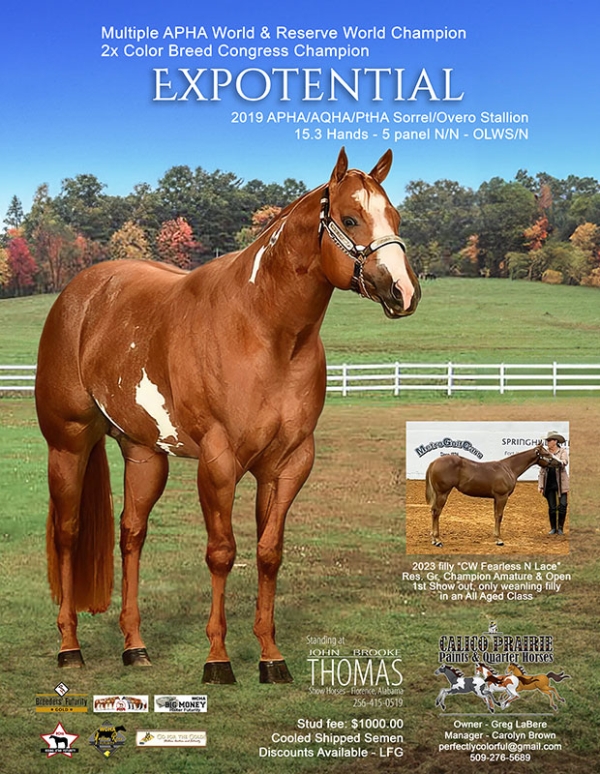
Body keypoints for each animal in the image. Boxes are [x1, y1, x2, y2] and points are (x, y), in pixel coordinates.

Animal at [35, 148, 420, 684]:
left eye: (396, 217)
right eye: (349, 219)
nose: (404, 291)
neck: (263, 331)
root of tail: (81, 293)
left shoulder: (288, 464)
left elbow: (268, 554)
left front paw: (271, 657)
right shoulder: (219, 463)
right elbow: (222, 554)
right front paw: (217, 659)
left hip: (144, 454)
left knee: (132, 534)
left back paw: (135, 647)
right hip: (68, 445)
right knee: (68, 535)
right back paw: (69, 647)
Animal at [425, 444, 559, 547]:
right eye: (547, 454)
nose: (560, 463)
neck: (509, 468)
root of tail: (434, 462)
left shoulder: (496, 498)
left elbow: (495, 515)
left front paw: (496, 537)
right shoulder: (502, 497)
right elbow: (499, 516)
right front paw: (499, 540)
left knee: (433, 511)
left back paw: (434, 539)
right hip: (442, 493)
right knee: (436, 512)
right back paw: (437, 540)